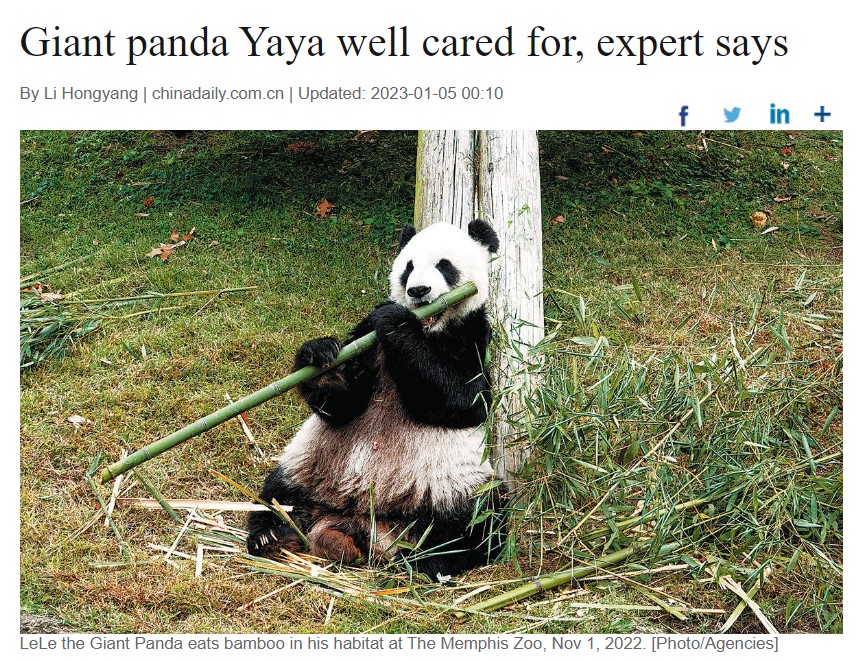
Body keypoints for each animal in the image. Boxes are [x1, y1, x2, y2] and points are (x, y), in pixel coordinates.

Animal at [247, 220, 502, 578]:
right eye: (408, 268)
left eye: (445, 266)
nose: (418, 291)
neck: (429, 328)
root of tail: (363, 526)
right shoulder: (367, 338)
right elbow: (342, 405)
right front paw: (320, 355)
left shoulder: (472, 334)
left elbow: (465, 400)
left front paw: (395, 320)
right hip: (308, 467)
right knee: (278, 494)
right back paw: (272, 535)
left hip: (454, 486)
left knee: (479, 521)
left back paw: (431, 561)